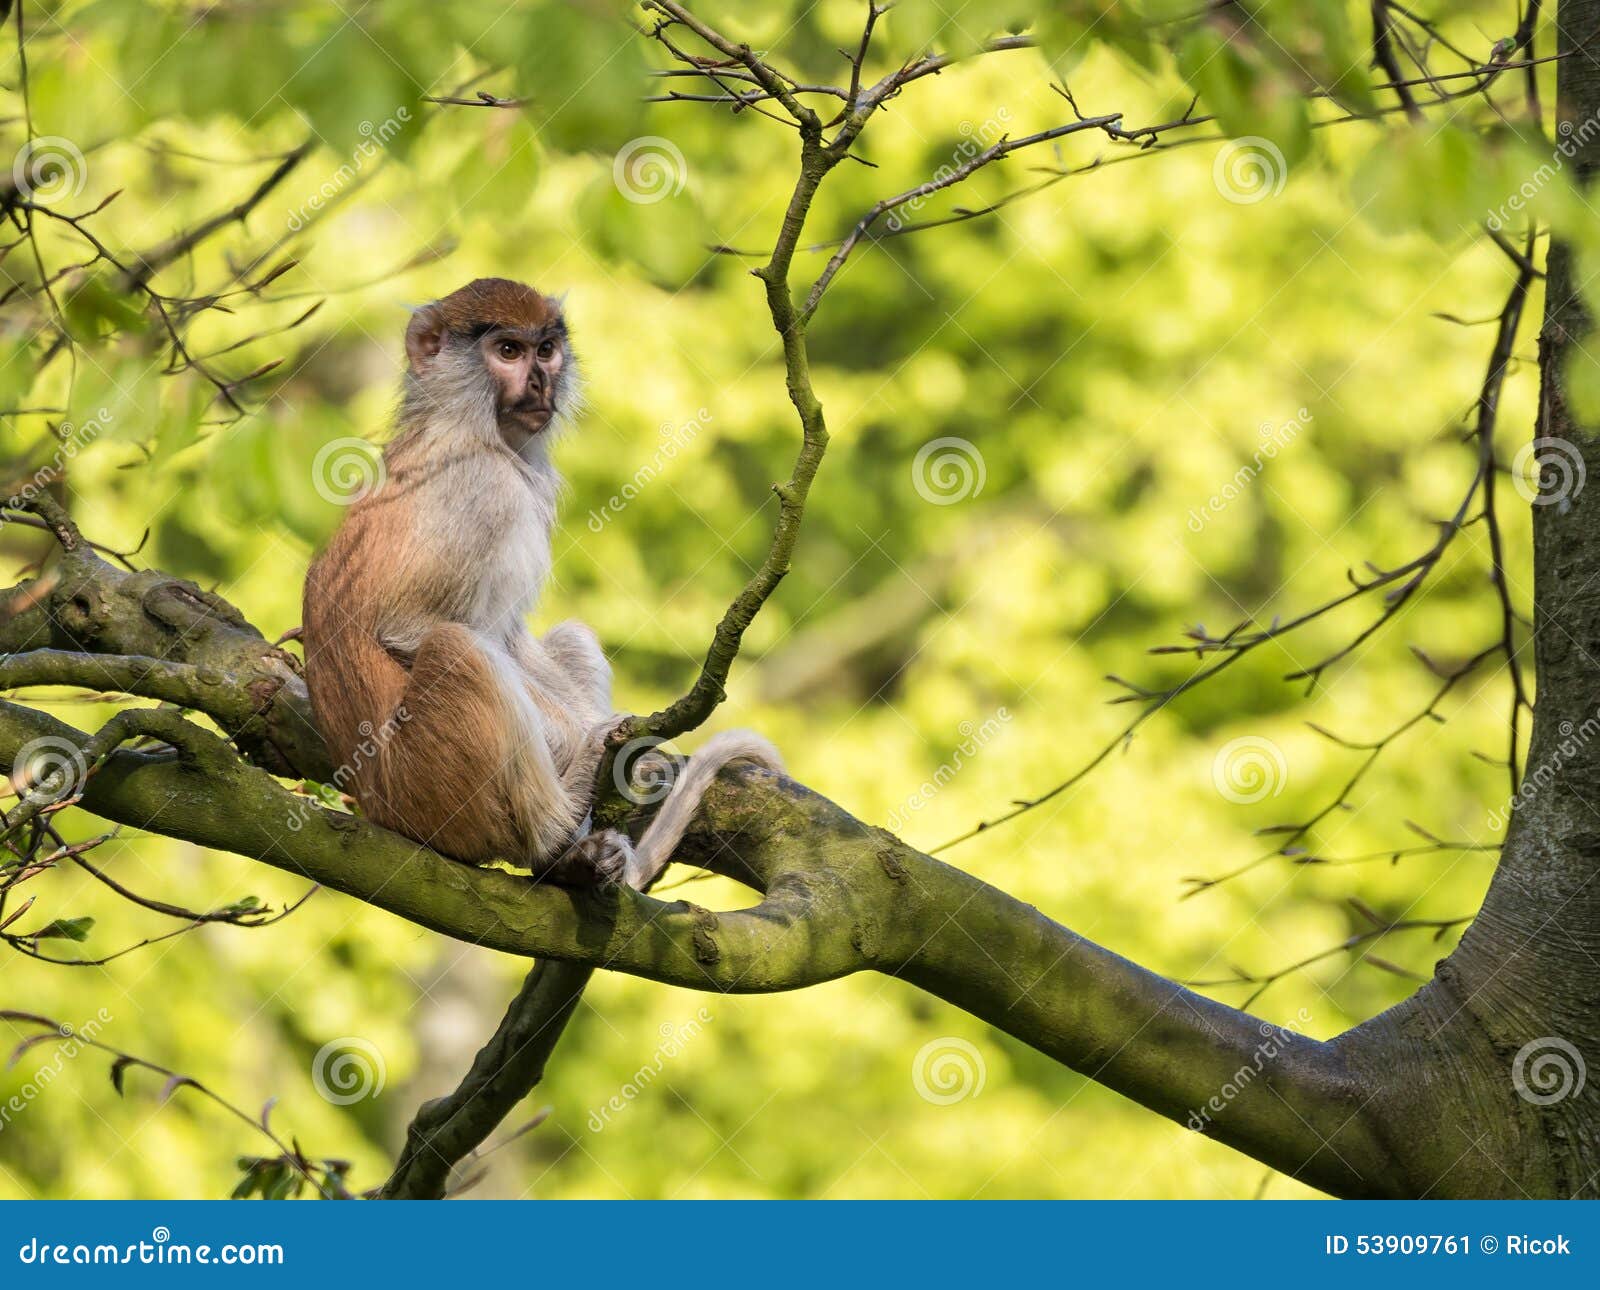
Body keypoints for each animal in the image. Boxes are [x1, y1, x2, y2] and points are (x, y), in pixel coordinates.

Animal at [301, 277, 781, 891]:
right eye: (508, 351)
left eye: (546, 350)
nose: (539, 380)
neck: (467, 424)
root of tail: (380, 809)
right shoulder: (483, 490)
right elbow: (410, 628)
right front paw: (589, 747)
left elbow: (512, 636)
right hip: (434, 788)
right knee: (456, 650)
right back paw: (557, 831)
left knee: (564, 638)